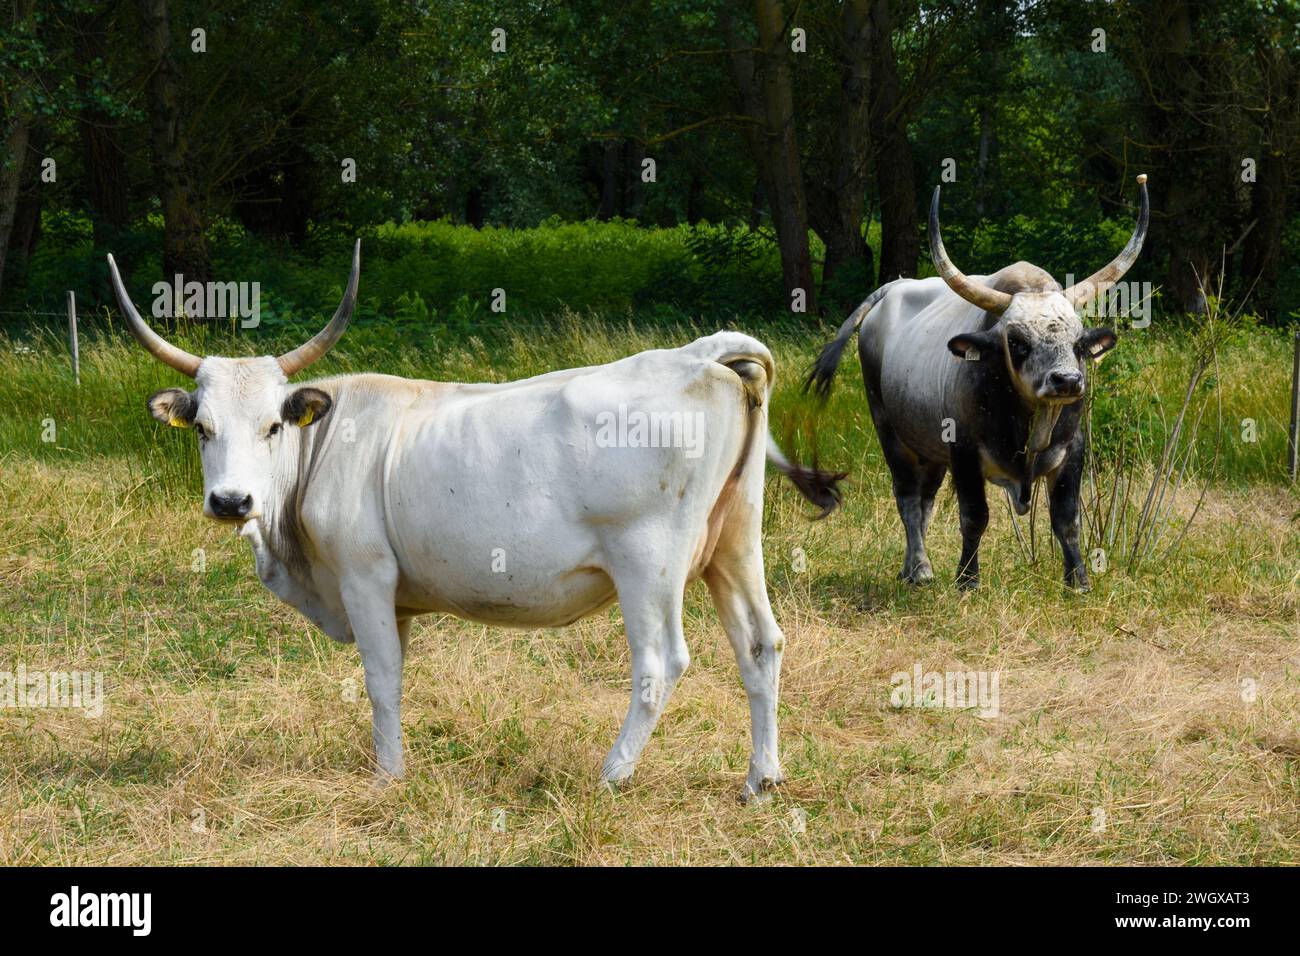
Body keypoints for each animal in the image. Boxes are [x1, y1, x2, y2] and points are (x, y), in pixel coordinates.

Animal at [108, 243, 842, 801]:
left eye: (271, 426)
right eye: (202, 428)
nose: (232, 502)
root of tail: (698, 354)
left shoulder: (364, 578)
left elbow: (381, 679)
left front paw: (388, 776)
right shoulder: (395, 599)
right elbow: (394, 675)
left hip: (648, 563)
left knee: (661, 663)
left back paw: (613, 773)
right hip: (734, 545)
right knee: (761, 645)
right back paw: (762, 778)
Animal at [805, 176, 1148, 591]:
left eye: (1079, 342)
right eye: (1016, 341)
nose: (1066, 380)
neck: (1028, 422)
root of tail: (892, 289)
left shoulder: (1072, 451)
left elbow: (1067, 519)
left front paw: (1078, 580)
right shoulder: (964, 451)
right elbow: (974, 517)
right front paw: (967, 580)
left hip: (930, 446)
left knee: (925, 501)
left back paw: (910, 568)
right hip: (891, 432)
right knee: (907, 498)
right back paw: (921, 568)